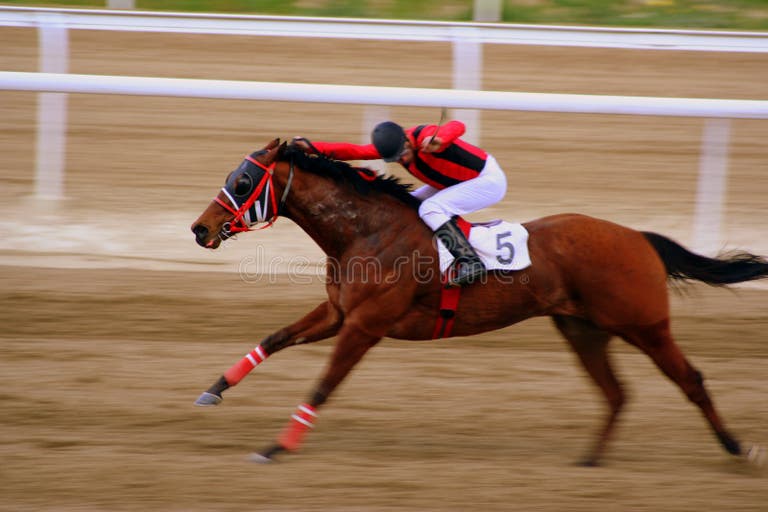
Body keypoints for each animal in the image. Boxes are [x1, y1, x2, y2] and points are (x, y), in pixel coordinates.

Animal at [190, 138, 767, 466]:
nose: (200, 229)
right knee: (617, 393)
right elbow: (273, 338)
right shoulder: (339, 314)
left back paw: (737, 448)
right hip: (582, 329)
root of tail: (637, 236)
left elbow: (323, 385)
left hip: (644, 324)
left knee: (691, 380)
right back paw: (590, 461)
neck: (364, 232)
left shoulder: (364, 326)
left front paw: (277, 447)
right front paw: (213, 390)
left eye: (243, 179)